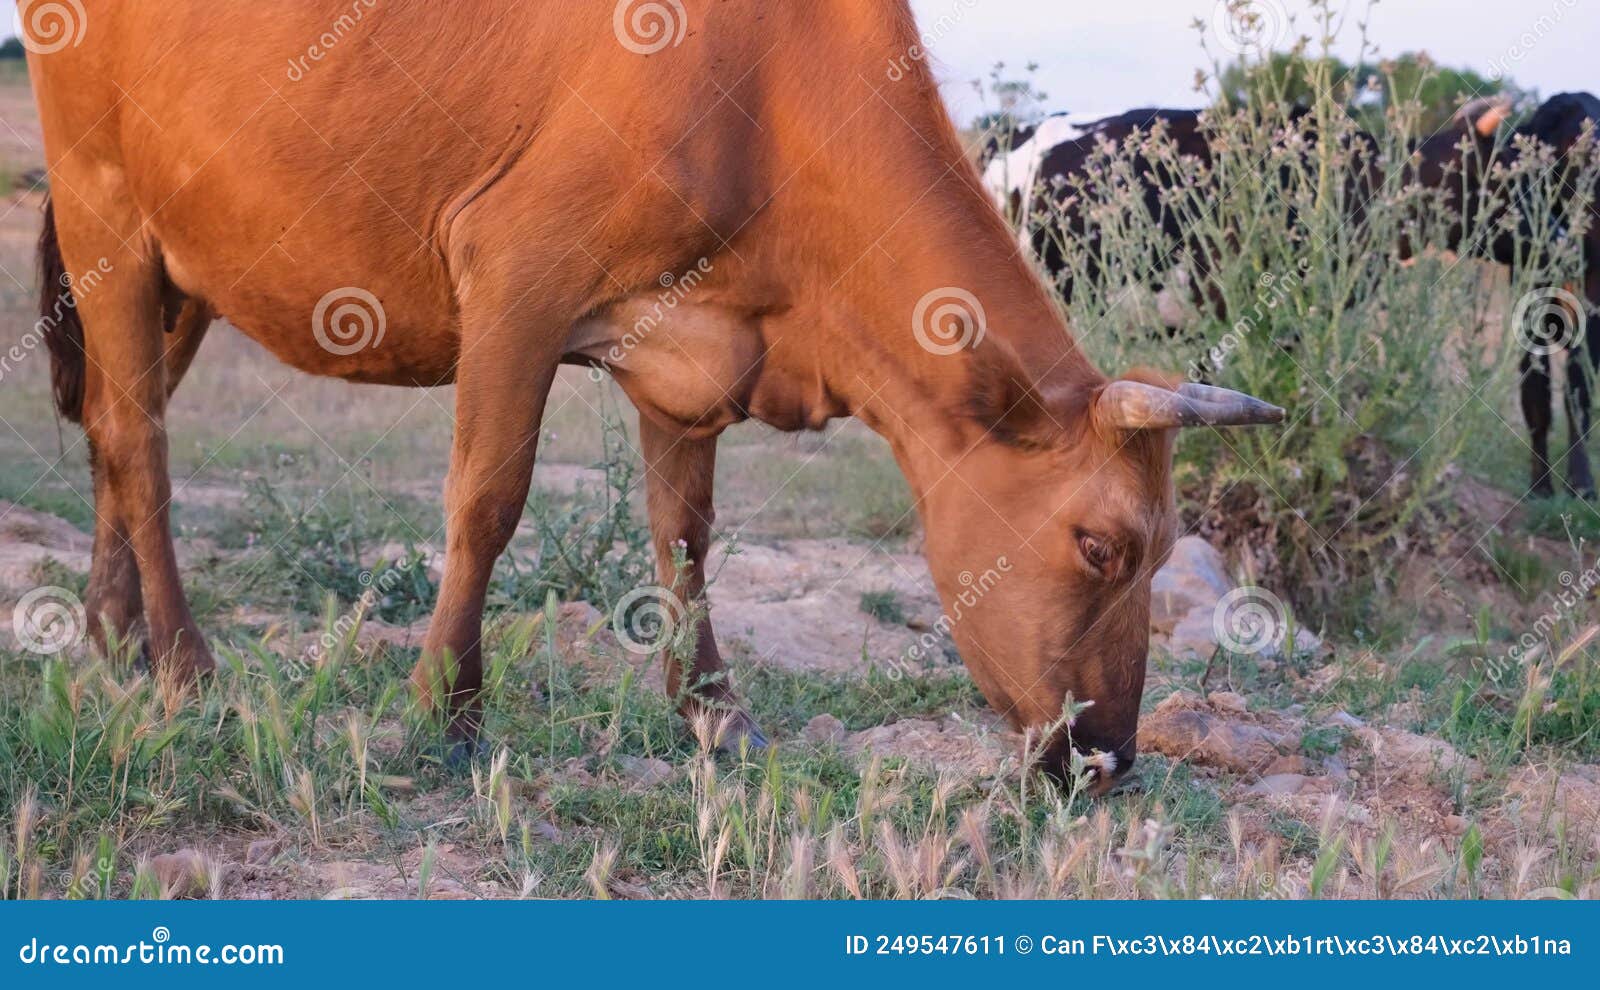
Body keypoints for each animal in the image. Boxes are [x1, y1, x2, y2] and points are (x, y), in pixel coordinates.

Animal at [25, 0, 1282, 790]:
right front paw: (444, 711)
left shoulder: (694, 352)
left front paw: (715, 716)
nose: (1107, 759)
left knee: (110, 431)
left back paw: (110, 635)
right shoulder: (517, 273)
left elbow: (684, 534)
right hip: (102, 207)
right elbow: (487, 499)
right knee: (137, 437)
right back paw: (183, 667)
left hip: (184, 263)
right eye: (1100, 547)